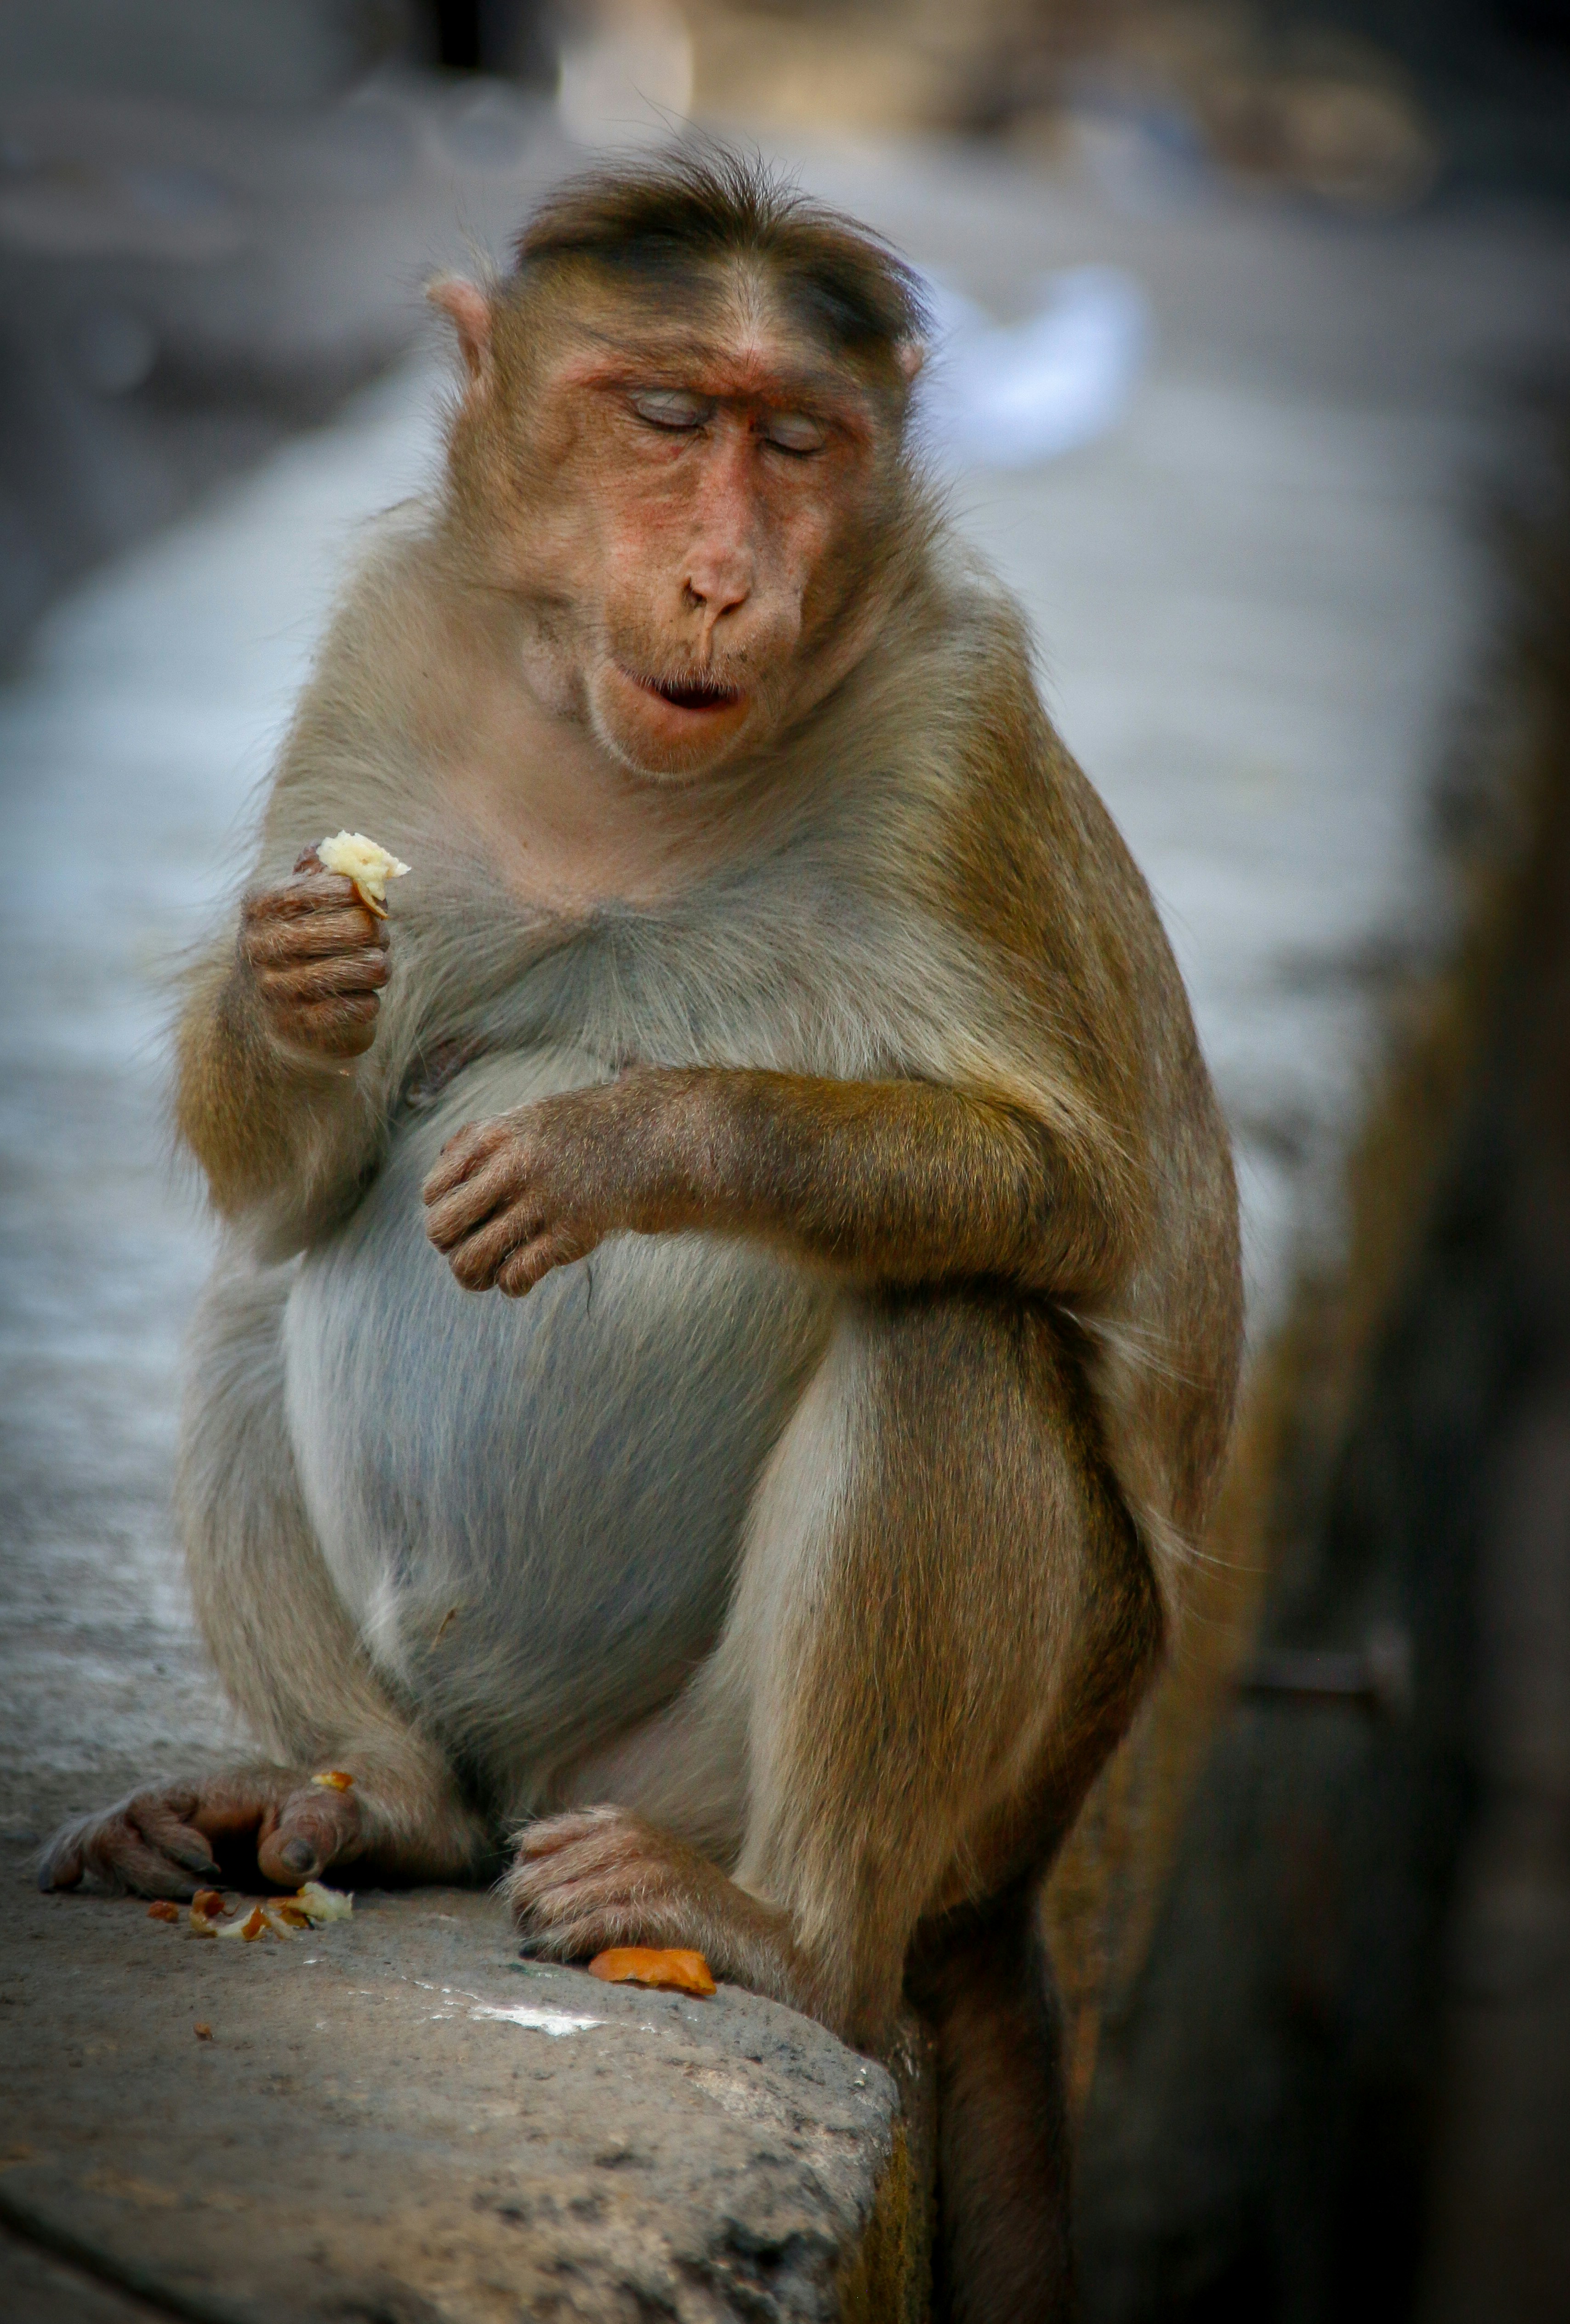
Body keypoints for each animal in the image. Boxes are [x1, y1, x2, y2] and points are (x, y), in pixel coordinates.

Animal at [41, 151, 1242, 2317]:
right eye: (667, 417)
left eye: (801, 443)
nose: (720, 580)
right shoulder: (388, 645)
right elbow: (283, 1185)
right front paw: (293, 978)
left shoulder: (952, 737)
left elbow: (1080, 1193)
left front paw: (632, 1138)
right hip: (535, 1759)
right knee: (256, 1287)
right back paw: (369, 1802)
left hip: (732, 1771)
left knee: (947, 1327)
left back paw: (798, 1940)